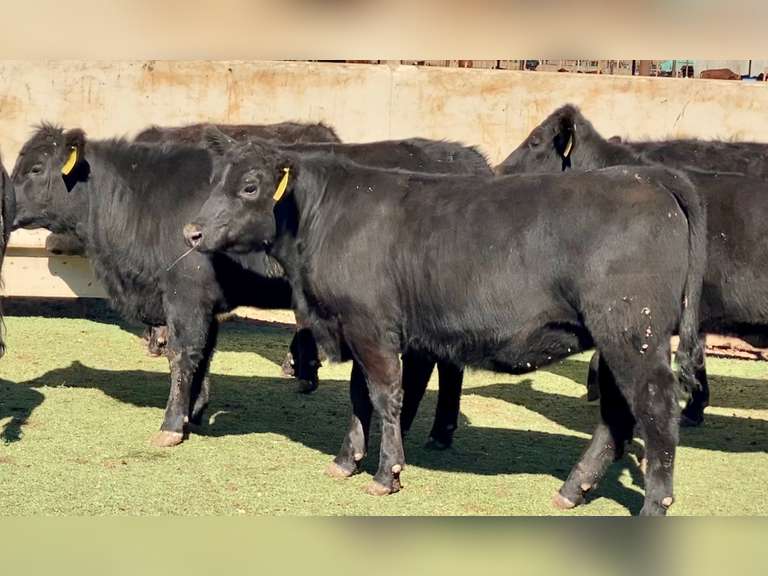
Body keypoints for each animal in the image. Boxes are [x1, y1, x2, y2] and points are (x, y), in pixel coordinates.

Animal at [185, 131, 706, 515]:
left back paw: (654, 505)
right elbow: (359, 397)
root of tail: (644, 175)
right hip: (620, 340)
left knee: (656, 410)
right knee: (618, 417)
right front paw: (346, 461)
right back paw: (571, 491)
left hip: (633, 336)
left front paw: (387, 474)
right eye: (214, 182)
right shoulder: (358, 326)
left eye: (250, 186)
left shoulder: (371, 326)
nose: (192, 231)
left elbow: (385, 396)